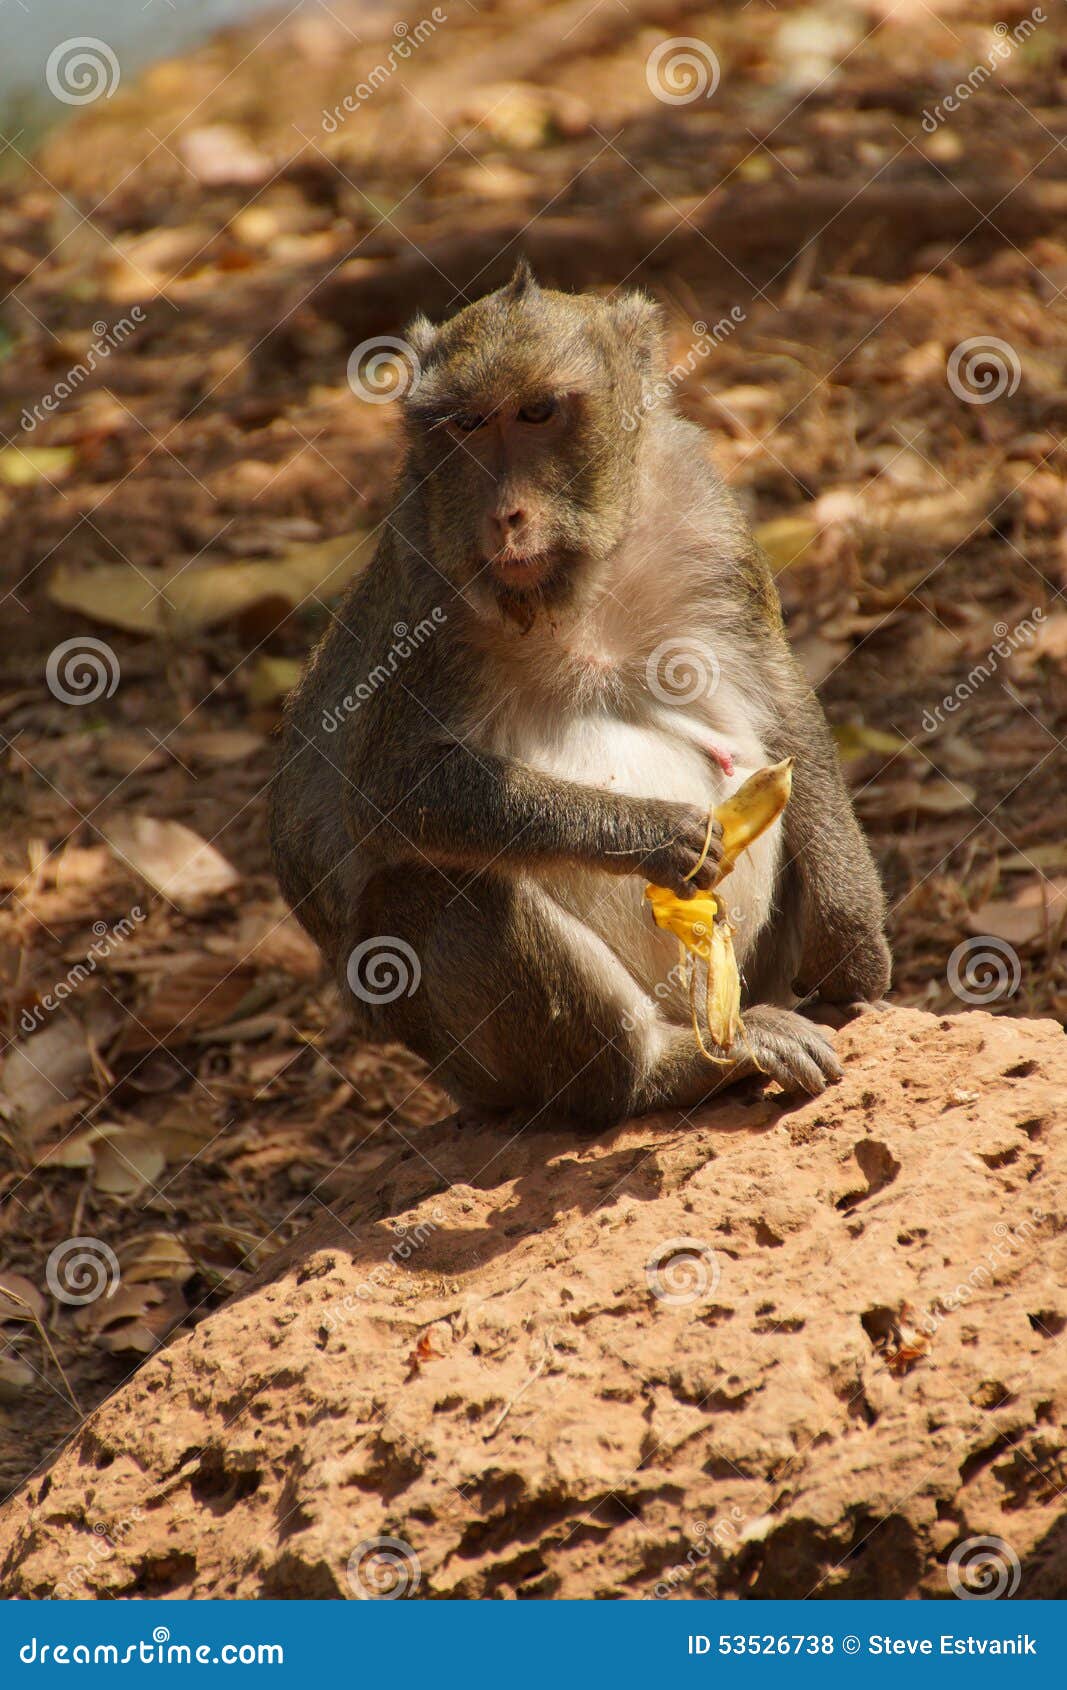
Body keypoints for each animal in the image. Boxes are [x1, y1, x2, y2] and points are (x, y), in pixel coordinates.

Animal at [269, 261, 890, 1132]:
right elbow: (390, 792)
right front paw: (656, 833)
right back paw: (662, 1072)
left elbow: (778, 704)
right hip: (492, 1071)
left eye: (536, 413)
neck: (579, 581)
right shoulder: (426, 594)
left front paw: (850, 933)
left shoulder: (705, 516)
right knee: (427, 891)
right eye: (467, 425)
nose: (506, 515)